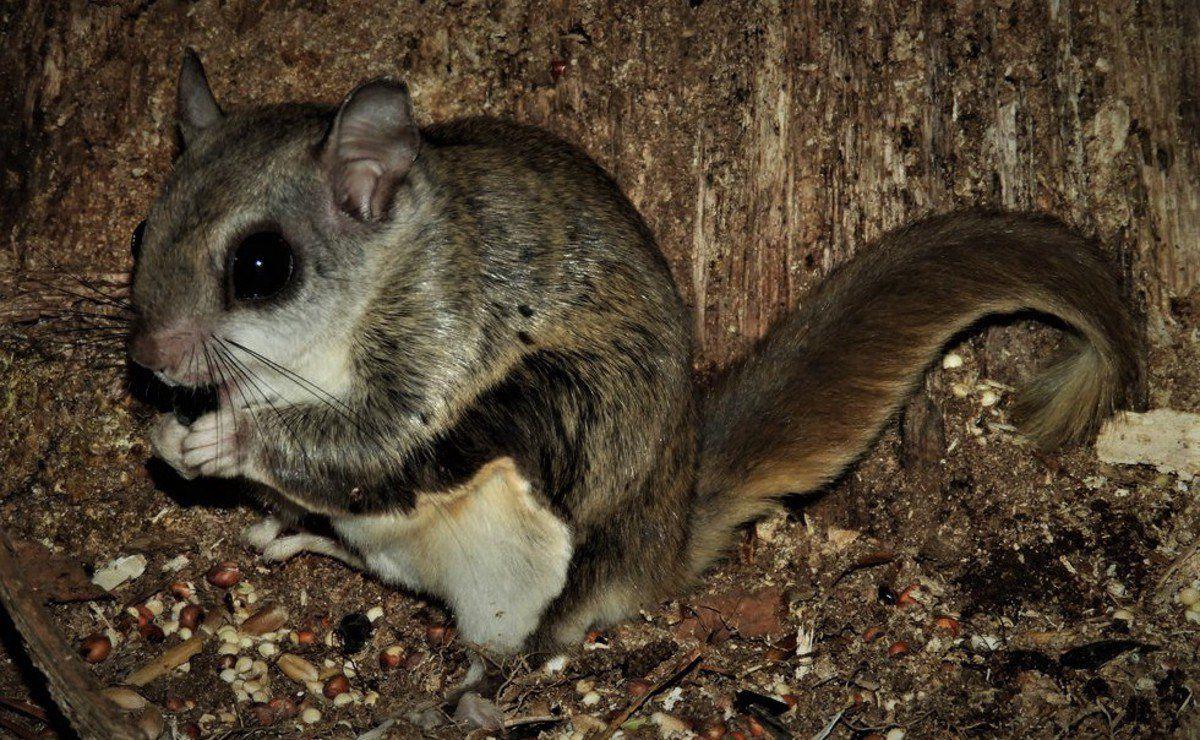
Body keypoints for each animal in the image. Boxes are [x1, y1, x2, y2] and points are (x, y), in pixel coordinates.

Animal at [129, 50, 1142, 654]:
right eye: (142, 226)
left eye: (262, 266)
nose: (150, 357)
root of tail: (666, 539)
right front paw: (176, 438)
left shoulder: (437, 335)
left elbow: (377, 438)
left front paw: (223, 440)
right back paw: (297, 540)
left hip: (552, 465)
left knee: (529, 631)